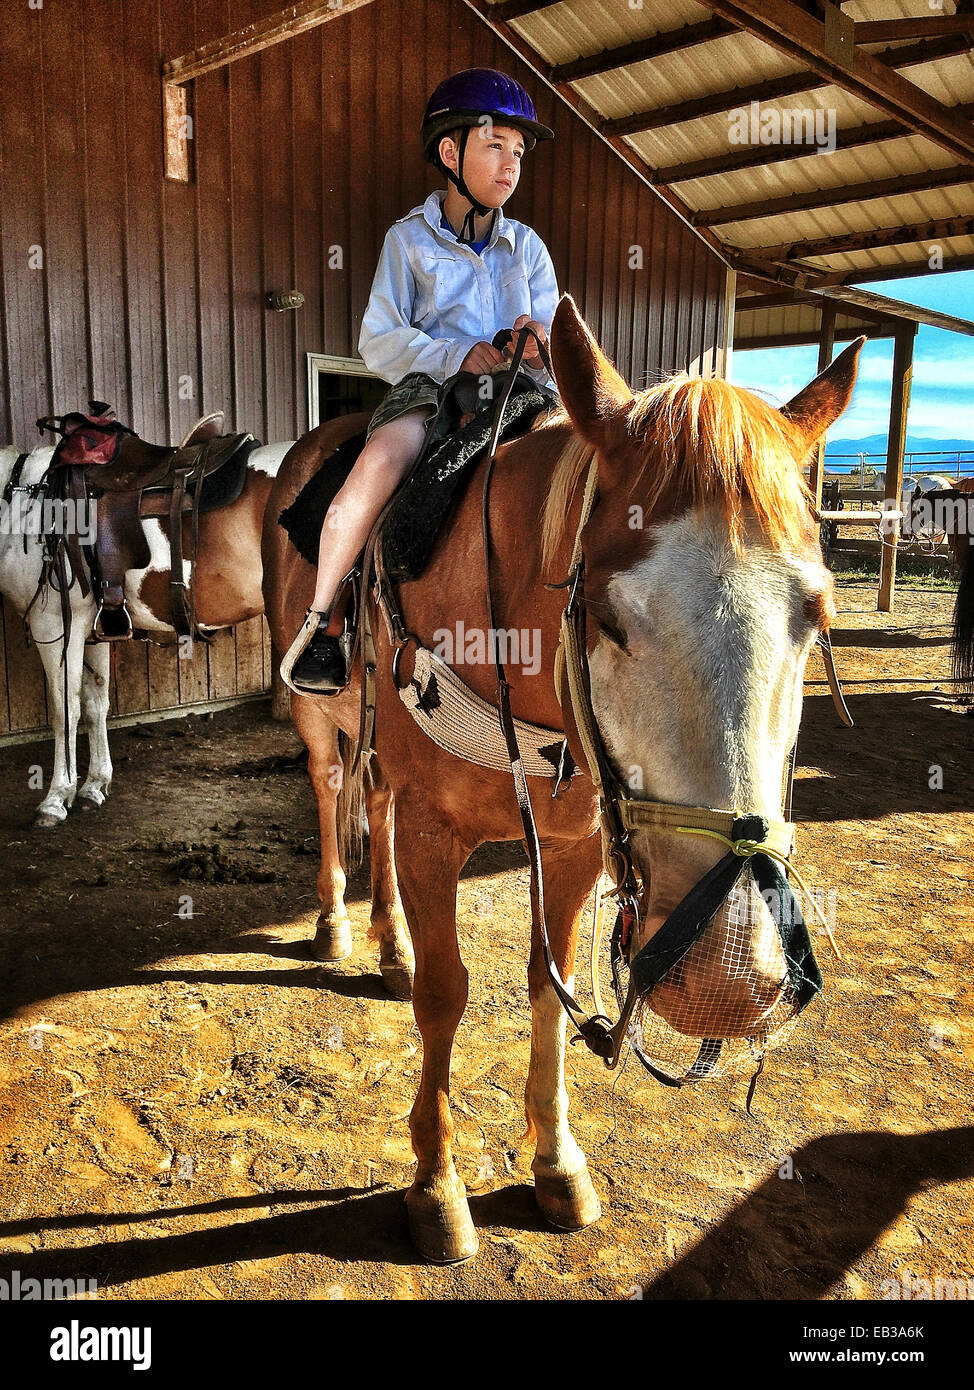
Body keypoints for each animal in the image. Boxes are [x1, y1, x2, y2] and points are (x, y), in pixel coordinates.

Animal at [0, 414, 292, 828]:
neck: (24, 501)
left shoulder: (54, 628)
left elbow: (64, 711)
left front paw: (56, 798)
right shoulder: (97, 630)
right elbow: (96, 703)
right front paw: (93, 786)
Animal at [262, 295, 863, 1262]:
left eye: (817, 616)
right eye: (609, 616)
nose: (728, 981)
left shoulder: (576, 842)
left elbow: (551, 988)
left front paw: (556, 1163)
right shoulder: (435, 831)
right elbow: (446, 995)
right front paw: (437, 1186)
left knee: (374, 808)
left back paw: (389, 944)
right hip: (321, 720)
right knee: (331, 795)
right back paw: (337, 925)